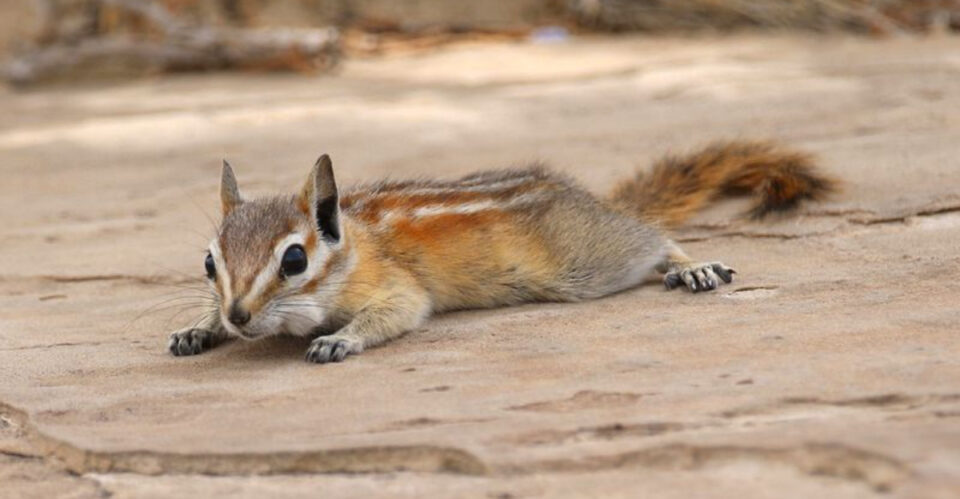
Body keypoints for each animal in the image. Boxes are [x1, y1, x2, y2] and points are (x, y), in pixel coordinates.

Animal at [168, 140, 834, 363]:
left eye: (295, 261)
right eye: (209, 263)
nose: (238, 317)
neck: (354, 245)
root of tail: (584, 194)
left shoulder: (395, 286)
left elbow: (398, 312)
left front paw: (340, 339)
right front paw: (199, 327)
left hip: (591, 261)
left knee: (652, 236)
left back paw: (691, 264)